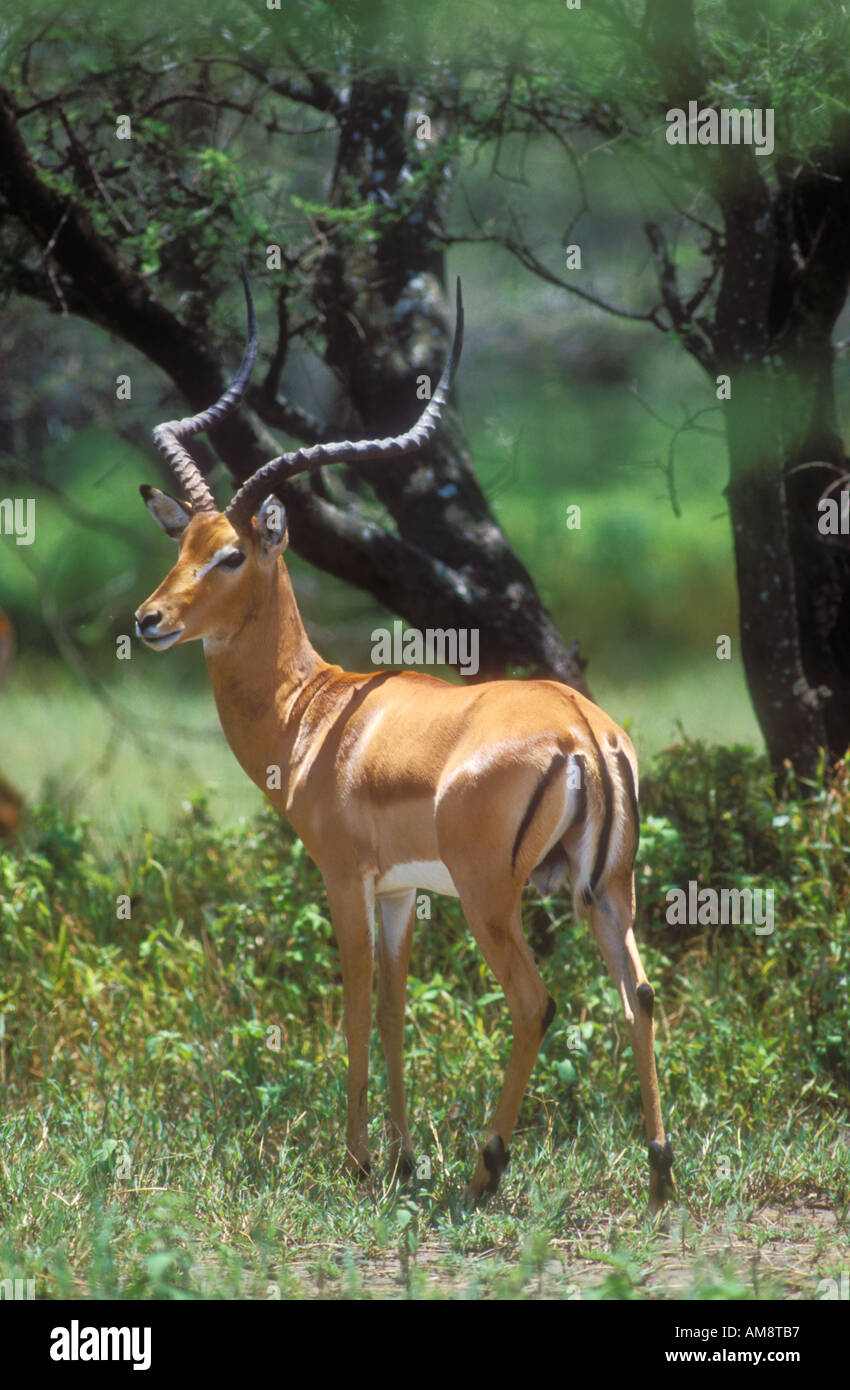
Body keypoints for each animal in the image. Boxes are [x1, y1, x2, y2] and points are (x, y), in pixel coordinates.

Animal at [135, 270, 674, 1214]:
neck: (314, 713)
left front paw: (357, 1161)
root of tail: (583, 729)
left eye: (233, 554)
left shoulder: (347, 878)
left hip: (494, 897)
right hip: (608, 890)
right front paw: (400, 1157)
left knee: (536, 1002)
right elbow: (394, 1009)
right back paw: (658, 1170)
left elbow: (353, 1007)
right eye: (184, 542)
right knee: (639, 992)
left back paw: (488, 1165)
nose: (149, 620)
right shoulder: (402, 891)